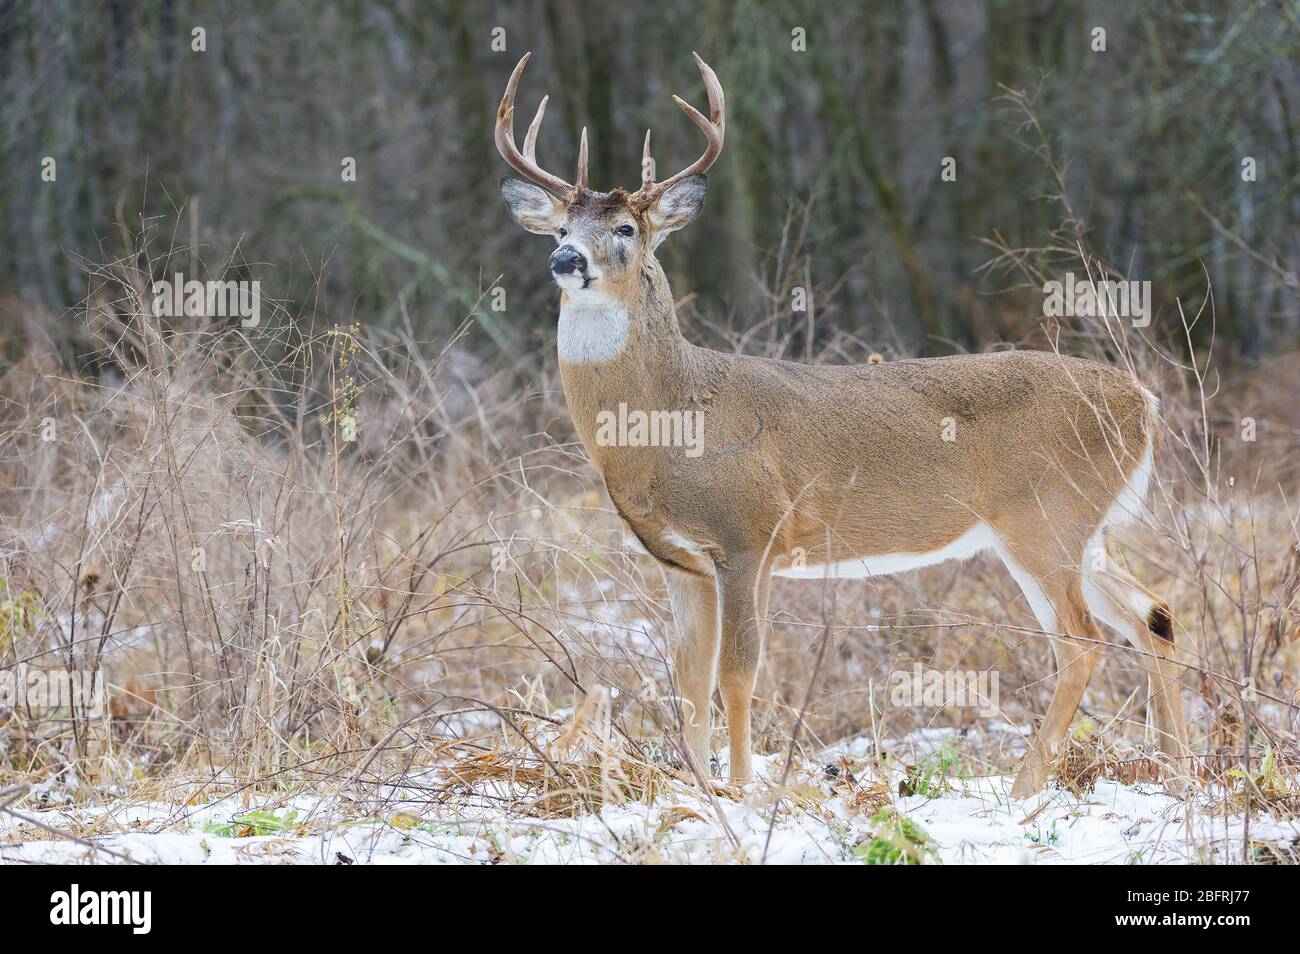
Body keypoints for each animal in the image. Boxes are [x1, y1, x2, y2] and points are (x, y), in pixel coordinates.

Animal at [494, 51, 1192, 797]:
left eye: (625, 229)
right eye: (561, 229)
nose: (566, 260)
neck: (668, 420)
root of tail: (1144, 402)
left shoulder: (748, 534)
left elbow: (737, 675)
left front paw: (742, 791)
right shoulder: (678, 561)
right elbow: (688, 683)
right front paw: (700, 791)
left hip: (1043, 516)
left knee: (1083, 639)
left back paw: (1024, 789)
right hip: (1084, 527)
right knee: (1153, 614)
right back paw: (1179, 772)